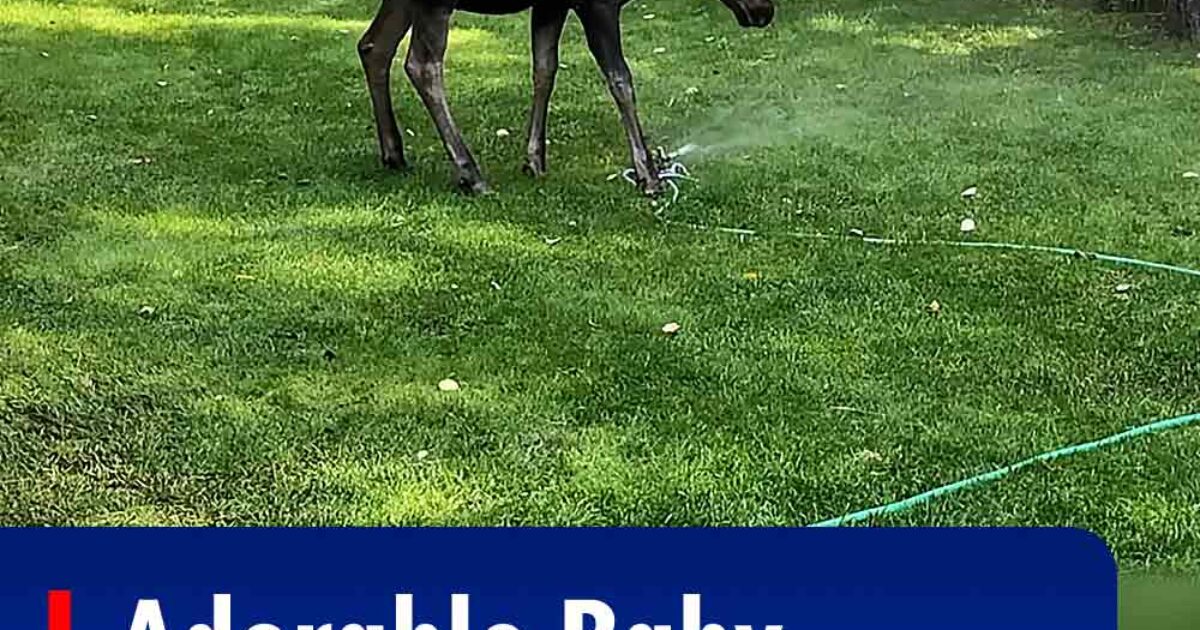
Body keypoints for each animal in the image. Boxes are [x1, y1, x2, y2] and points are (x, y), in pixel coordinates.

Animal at [357, 0, 775, 196]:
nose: (766, 11)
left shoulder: (551, 4)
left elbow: (545, 69)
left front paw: (534, 159)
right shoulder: (598, 3)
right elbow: (620, 79)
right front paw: (648, 175)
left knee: (373, 46)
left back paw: (394, 153)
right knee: (422, 64)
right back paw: (469, 172)